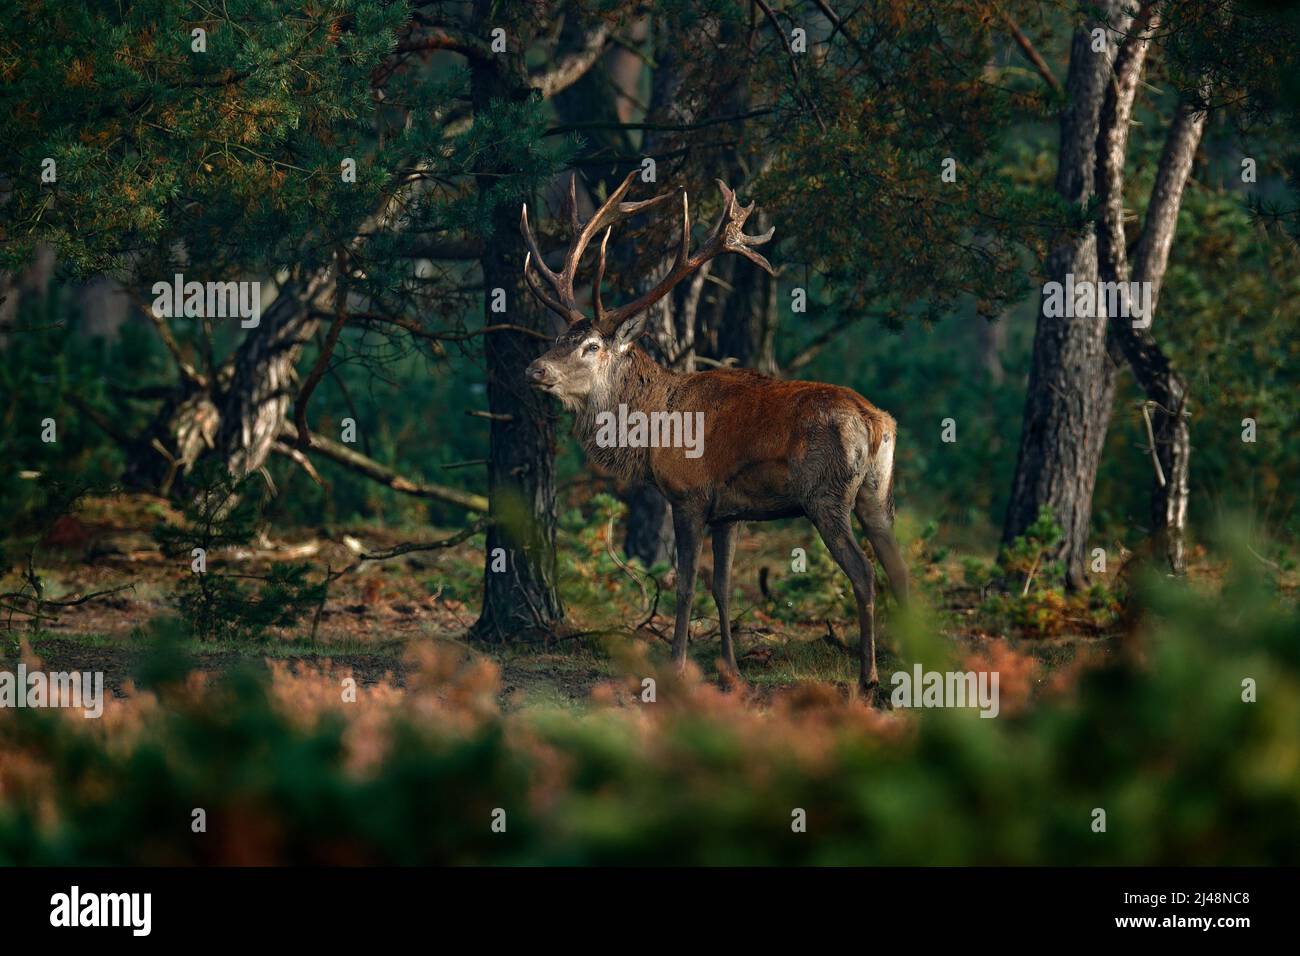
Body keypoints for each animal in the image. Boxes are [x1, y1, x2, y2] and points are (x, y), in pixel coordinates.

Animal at [521, 170, 908, 696]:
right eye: (559, 337)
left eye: (591, 346)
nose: (534, 369)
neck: (653, 429)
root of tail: (875, 422)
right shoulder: (731, 511)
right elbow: (721, 588)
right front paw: (731, 670)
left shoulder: (689, 494)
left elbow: (684, 584)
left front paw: (676, 666)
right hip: (876, 493)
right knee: (899, 569)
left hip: (825, 494)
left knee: (865, 571)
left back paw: (867, 675)